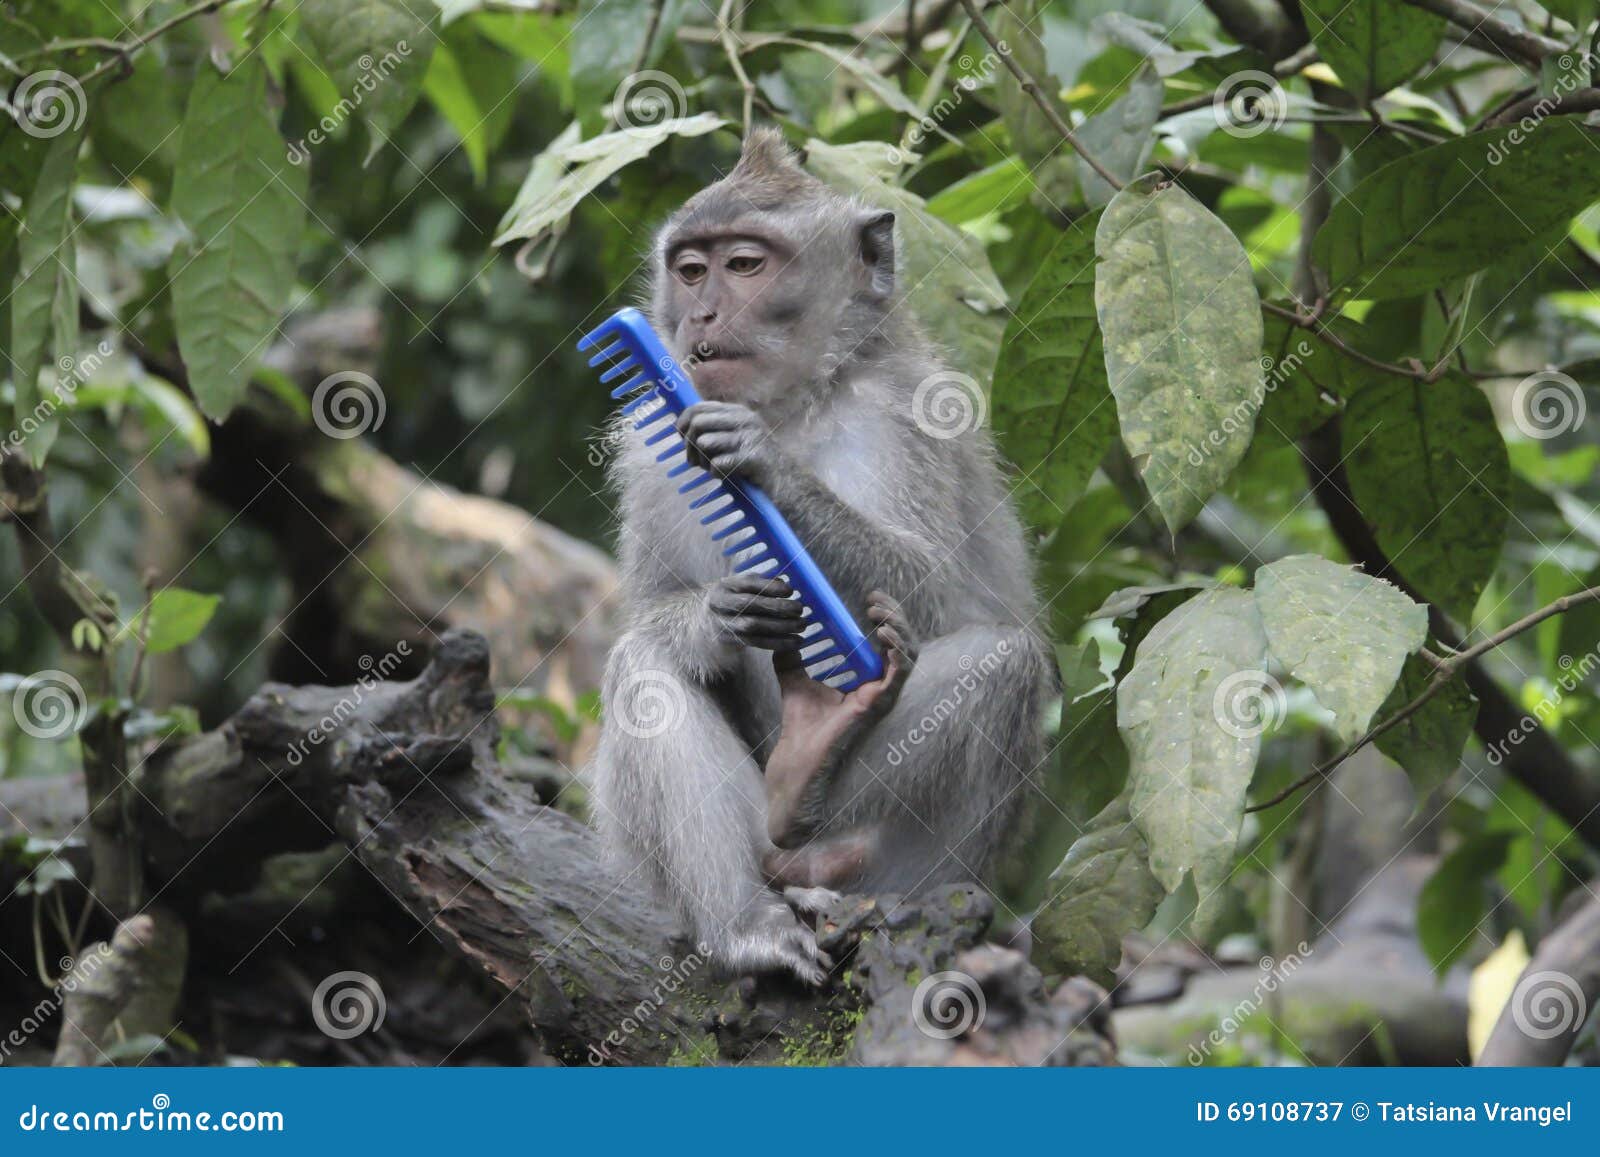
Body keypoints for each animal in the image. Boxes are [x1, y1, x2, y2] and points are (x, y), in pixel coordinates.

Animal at [589, 129, 1053, 984]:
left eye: (745, 265)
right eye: (691, 268)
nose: (702, 312)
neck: (795, 401)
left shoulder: (905, 413)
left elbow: (933, 592)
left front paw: (765, 464)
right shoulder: (650, 441)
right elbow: (650, 609)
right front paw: (718, 615)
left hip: (861, 836)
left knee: (1002, 665)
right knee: (647, 665)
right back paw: (747, 922)